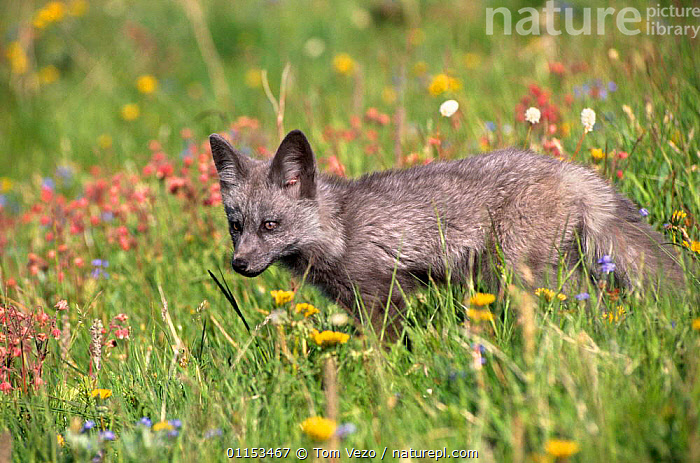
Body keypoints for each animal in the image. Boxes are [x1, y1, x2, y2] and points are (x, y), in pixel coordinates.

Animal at [209, 129, 685, 340]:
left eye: (271, 225)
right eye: (236, 226)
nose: (239, 264)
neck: (340, 229)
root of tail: (575, 172)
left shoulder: (384, 295)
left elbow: (386, 350)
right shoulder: (359, 301)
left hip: (520, 273)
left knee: (592, 306)